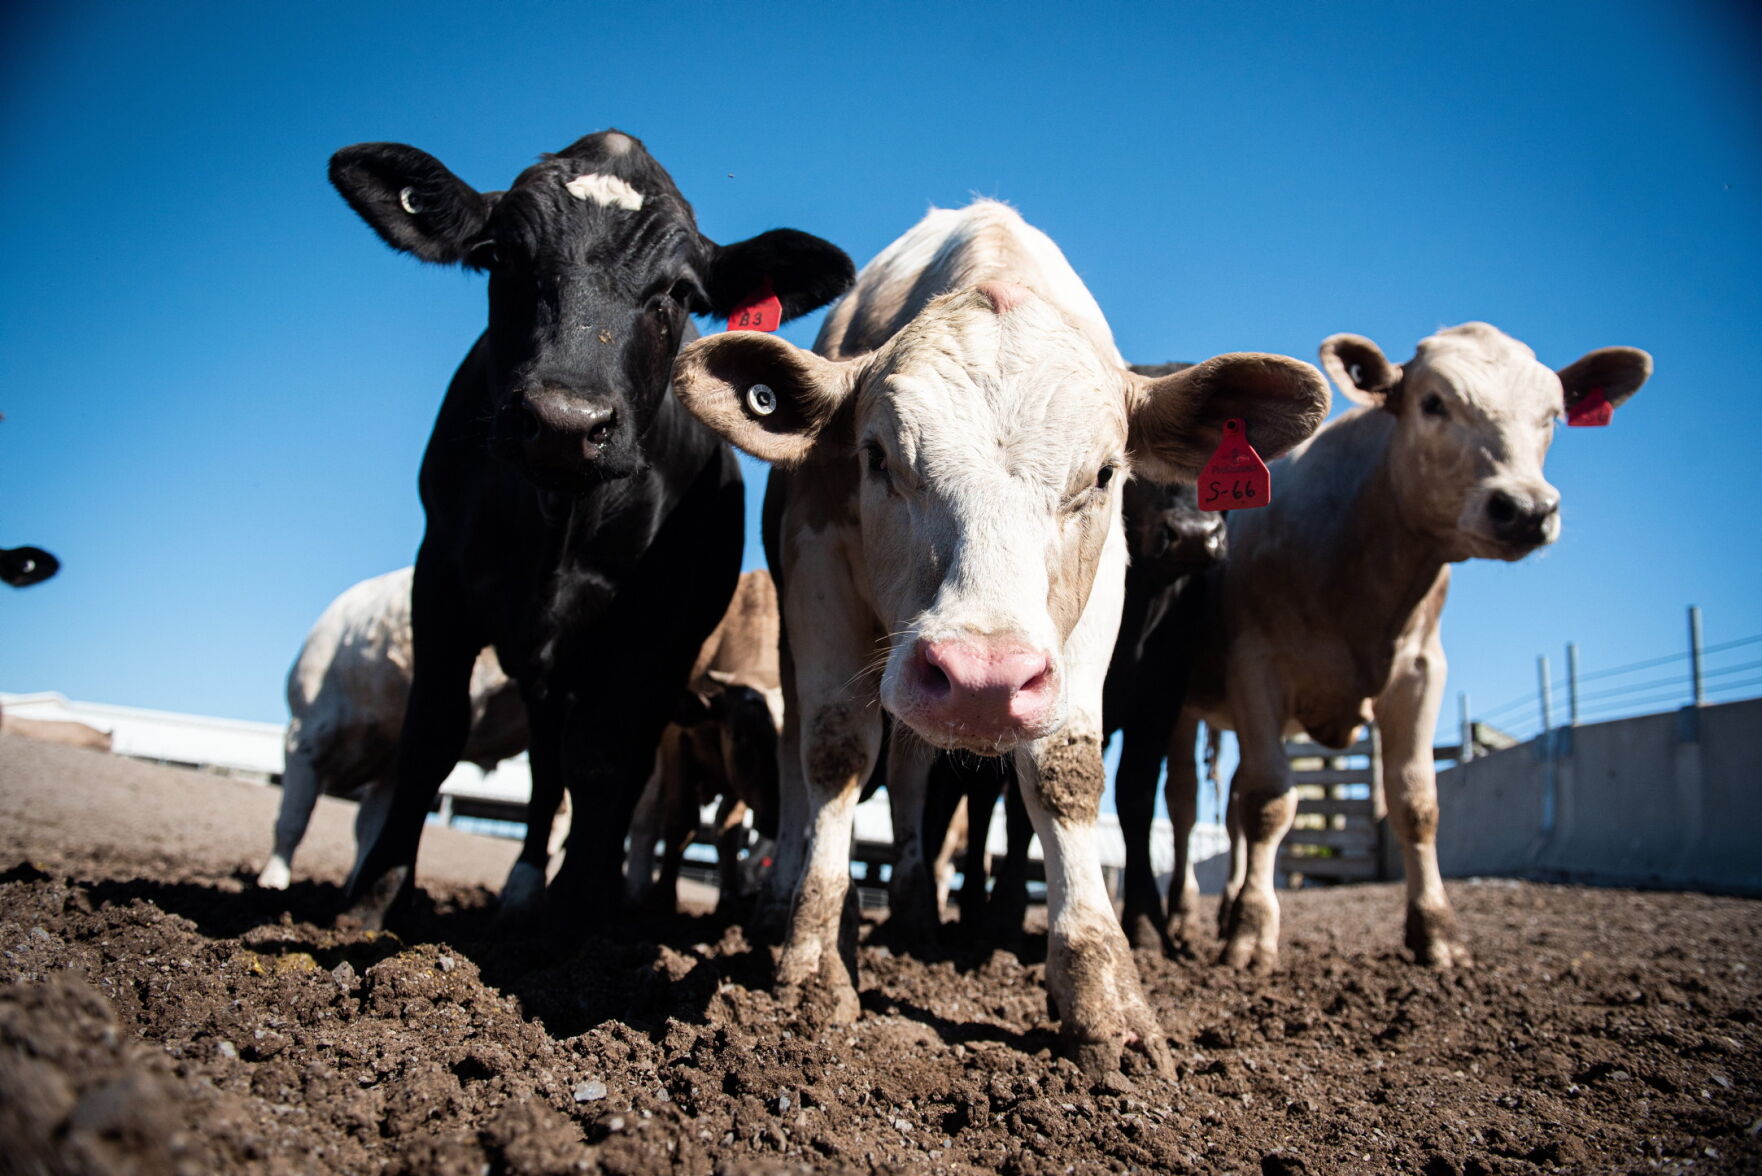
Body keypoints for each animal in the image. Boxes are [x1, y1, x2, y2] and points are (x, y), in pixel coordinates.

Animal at [256, 567, 529, 892]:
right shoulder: (312, 738)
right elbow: (339, 826)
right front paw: (279, 884)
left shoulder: (312, 740)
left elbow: (304, 822)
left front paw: (274, 884)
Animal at [625, 569, 783, 917]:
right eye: (738, 735)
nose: (776, 818)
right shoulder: (676, 741)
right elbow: (680, 822)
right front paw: (663, 898)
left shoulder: (738, 783)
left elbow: (727, 831)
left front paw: (729, 897)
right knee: (645, 818)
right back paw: (636, 887)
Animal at [671, 198, 1329, 1075]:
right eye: (876, 457)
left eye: (1104, 475)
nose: (982, 677)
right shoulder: (818, 571)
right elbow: (835, 755)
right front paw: (813, 963)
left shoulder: (1099, 603)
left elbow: (1063, 773)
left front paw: (1105, 996)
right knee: (803, 764)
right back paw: (789, 906)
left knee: (912, 779)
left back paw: (917, 912)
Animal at [1158, 322, 1650, 972]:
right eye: (1433, 402)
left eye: (1552, 416)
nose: (1526, 508)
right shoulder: (1255, 666)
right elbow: (1270, 802)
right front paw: (1252, 934)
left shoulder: (1420, 670)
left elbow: (1415, 801)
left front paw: (1436, 930)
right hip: (1186, 707)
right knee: (1186, 804)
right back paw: (1185, 914)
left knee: (1234, 800)